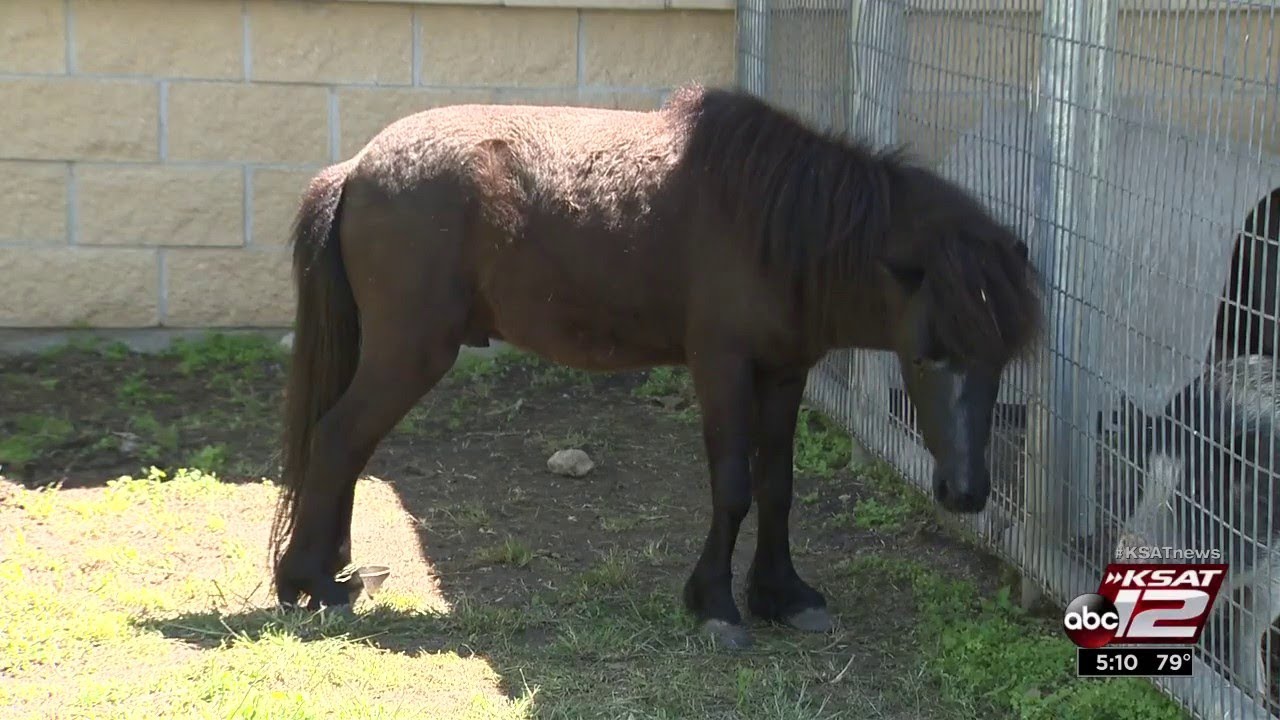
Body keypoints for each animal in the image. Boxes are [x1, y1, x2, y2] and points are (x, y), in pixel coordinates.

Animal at [268, 84, 1043, 649]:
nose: (967, 494)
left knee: (347, 444)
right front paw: (716, 605)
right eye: (926, 355)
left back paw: (331, 571)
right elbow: (733, 488)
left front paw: (782, 595)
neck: (776, 223)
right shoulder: (722, 366)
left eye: (1001, 358)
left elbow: (778, 486)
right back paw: (312, 583)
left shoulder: (783, 372)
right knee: (337, 438)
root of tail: (356, 168)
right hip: (410, 352)